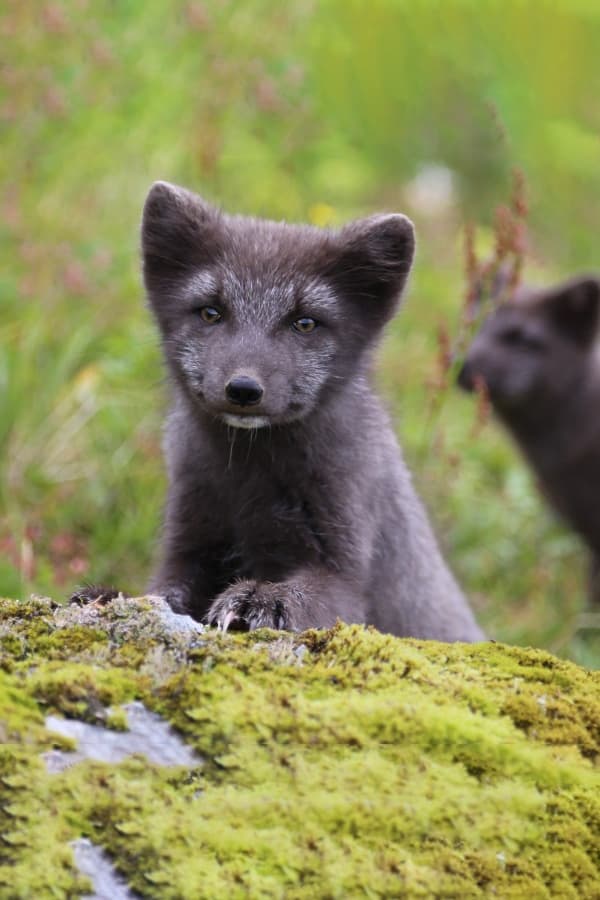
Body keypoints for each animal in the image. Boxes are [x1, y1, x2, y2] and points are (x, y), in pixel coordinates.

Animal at [74, 182, 484, 642]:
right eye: (211, 312)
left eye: (305, 323)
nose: (243, 389)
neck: (249, 478)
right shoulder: (189, 539)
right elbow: (163, 591)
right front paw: (113, 597)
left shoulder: (345, 565)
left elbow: (309, 593)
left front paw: (260, 597)